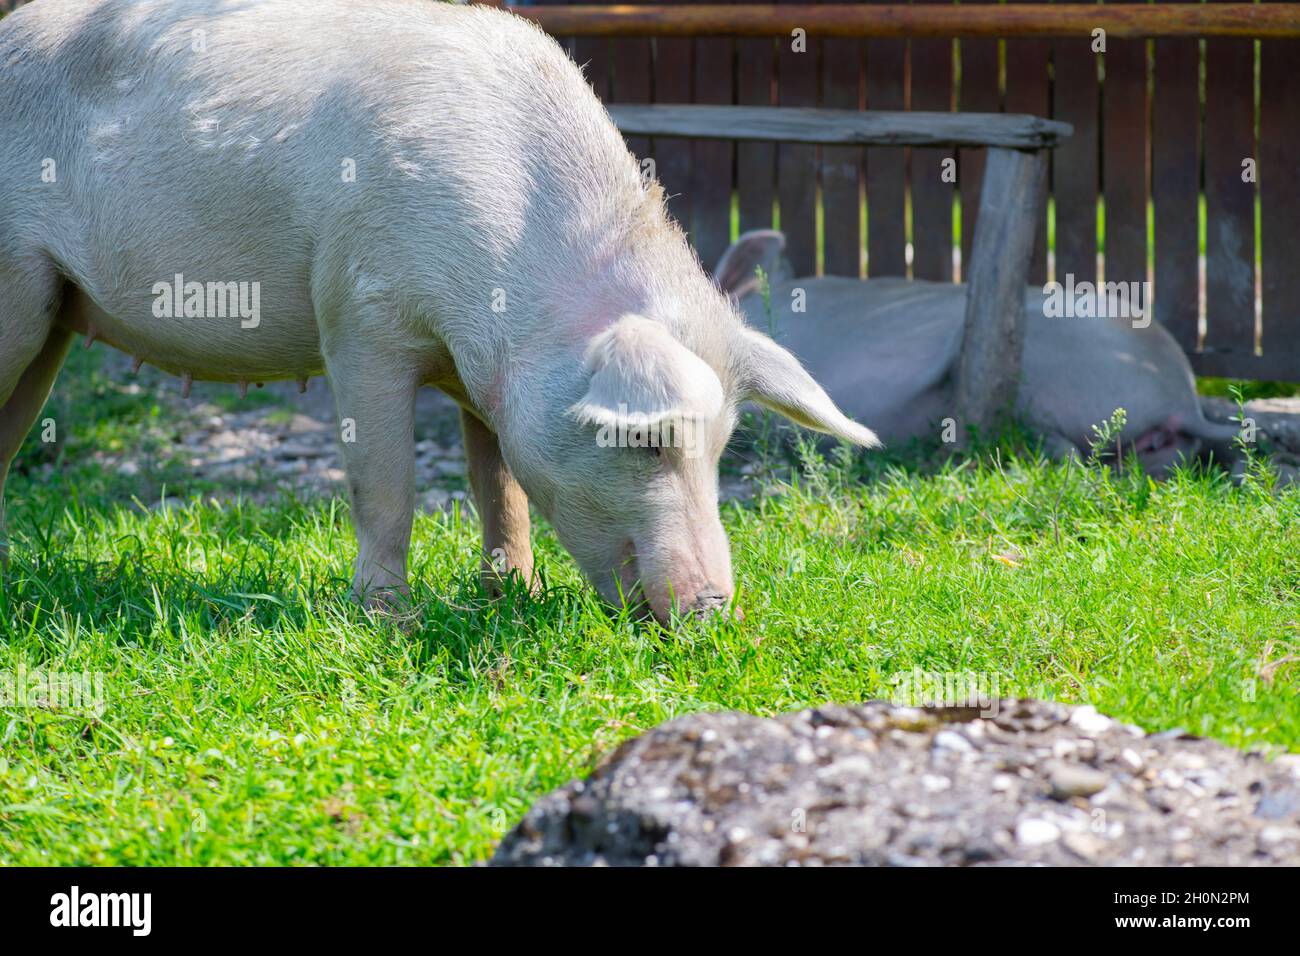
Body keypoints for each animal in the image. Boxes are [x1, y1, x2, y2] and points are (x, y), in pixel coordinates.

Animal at [0, 0, 877, 623]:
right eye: (646, 441)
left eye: (721, 447)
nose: (713, 614)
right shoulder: (357, 317)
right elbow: (388, 485)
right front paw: (392, 621)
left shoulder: (484, 382)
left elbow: (501, 488)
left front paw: (513, 596)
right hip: (17, 287)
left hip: (52, 321)